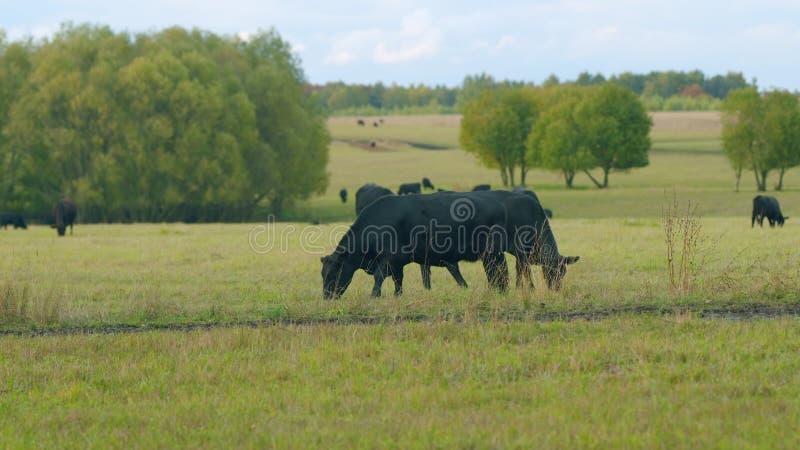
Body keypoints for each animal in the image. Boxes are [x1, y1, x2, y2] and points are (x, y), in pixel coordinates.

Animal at [320, 191, 579, 298]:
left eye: (335, 271)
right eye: (324, 273)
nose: (326, 297)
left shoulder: (389, 258)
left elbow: (379, 277)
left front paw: (375, 296)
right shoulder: (398, 262)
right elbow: (397, 280)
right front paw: (396, 295)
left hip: (495, 252)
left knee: (501, 272)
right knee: (499, 273)